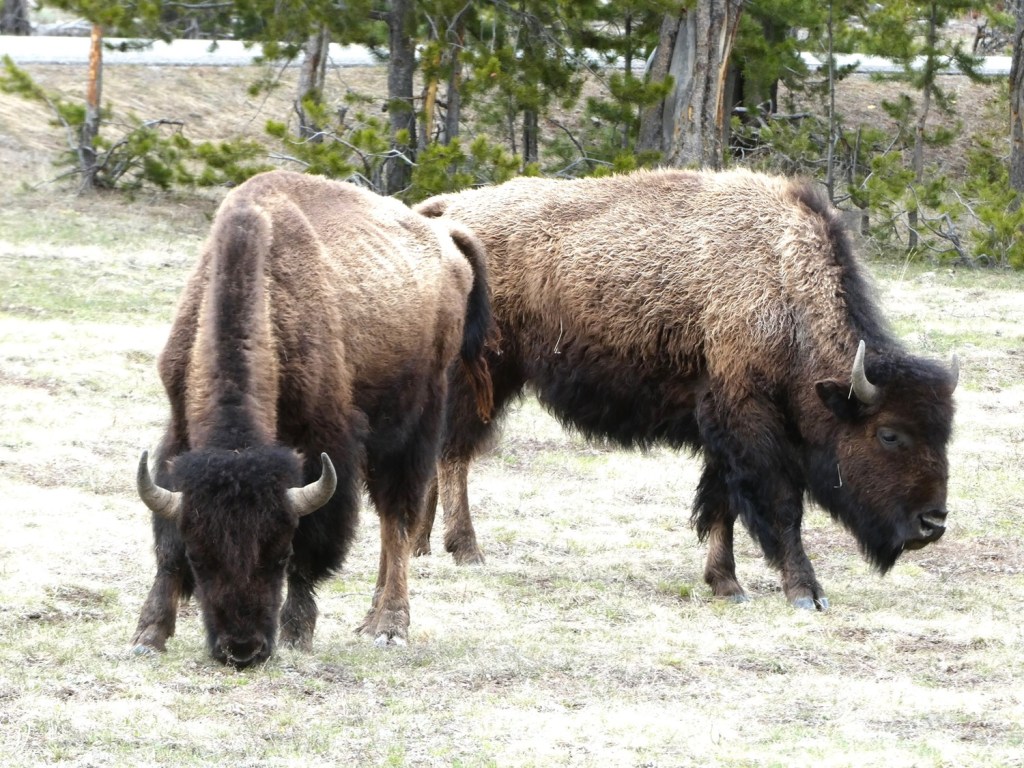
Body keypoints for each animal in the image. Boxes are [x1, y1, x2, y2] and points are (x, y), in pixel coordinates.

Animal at [132, 170, 492, 665]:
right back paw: (368, 620)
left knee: (396, 518)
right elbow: (165, 546)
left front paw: (296, 633)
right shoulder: (179, 433)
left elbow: (316, 542)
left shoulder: (326, 446)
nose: (242, 650)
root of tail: (447, 240)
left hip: (416, 419)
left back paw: (389, 625)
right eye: (199, 557)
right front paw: (148, 635)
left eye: (278, 556)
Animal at [414, 168, 958, 609]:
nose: (933, 523)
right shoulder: (749, 424)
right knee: (455, 454)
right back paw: (467, 551)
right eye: (889, 434)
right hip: (484, 371)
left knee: (442, 451)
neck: (783, 285)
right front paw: (806, 592)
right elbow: (779, 507)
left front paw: (727, 584)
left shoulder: (720, 428)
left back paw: (420, 545)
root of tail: (450, 211)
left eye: (944, 433)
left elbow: (720, 506)